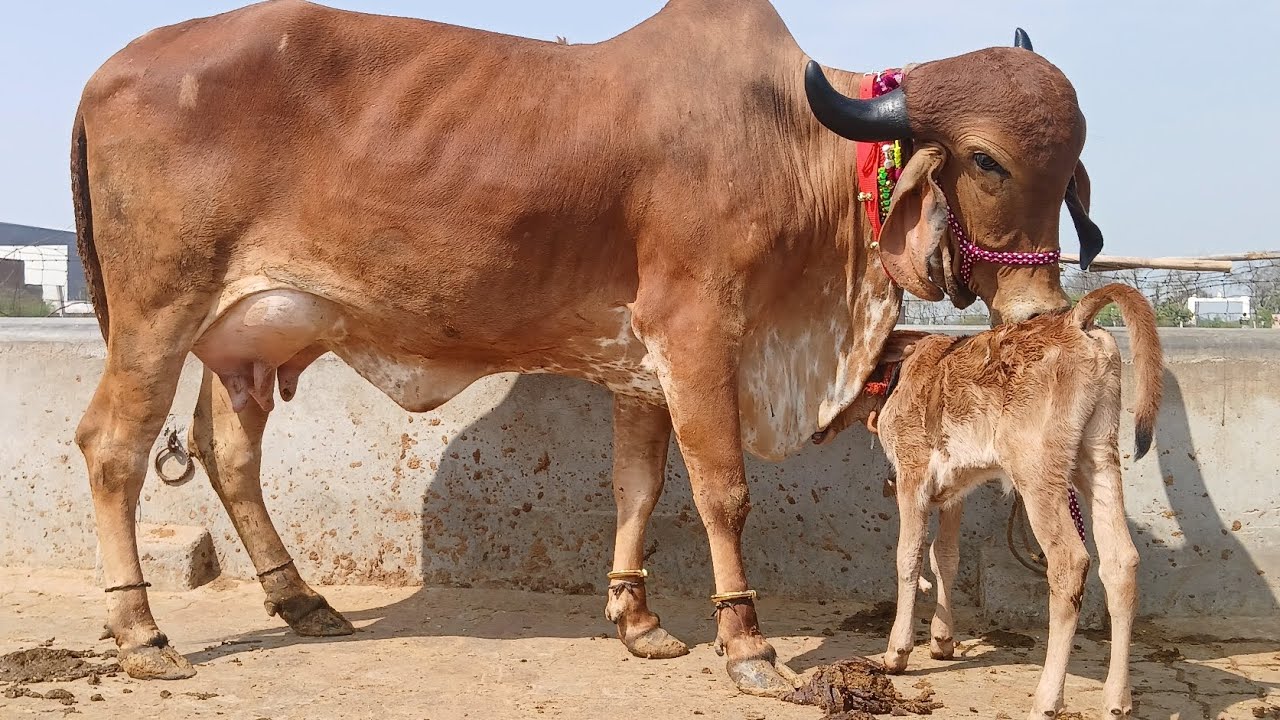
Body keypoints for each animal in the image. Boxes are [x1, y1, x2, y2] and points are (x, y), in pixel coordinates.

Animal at [70, 0, 1104, 696]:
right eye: (987, 161)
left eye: (1073, 167)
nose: (1041, 303)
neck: (792, 144)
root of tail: (111, 67)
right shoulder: (697, 334)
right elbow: (722, 493)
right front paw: (747, 645)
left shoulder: (639, 367)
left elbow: (637, 488)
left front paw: (638, 621)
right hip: (159, 311)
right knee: (113, 447)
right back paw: (141, 631)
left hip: (246, 338)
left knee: (227, 451)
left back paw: (302, 602)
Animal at [820, 284, 1162, 718]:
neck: (898, 374)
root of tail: (1075, 321)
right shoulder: (954, 487)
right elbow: (945, 556)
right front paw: (942, 640)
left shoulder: (912, 476)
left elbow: (908, 556)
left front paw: (897, 652)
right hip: (1099, 456)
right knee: (1121, 561)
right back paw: (1117, 699)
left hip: (1038, 470)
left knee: (1070, 563)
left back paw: (1047, 699)